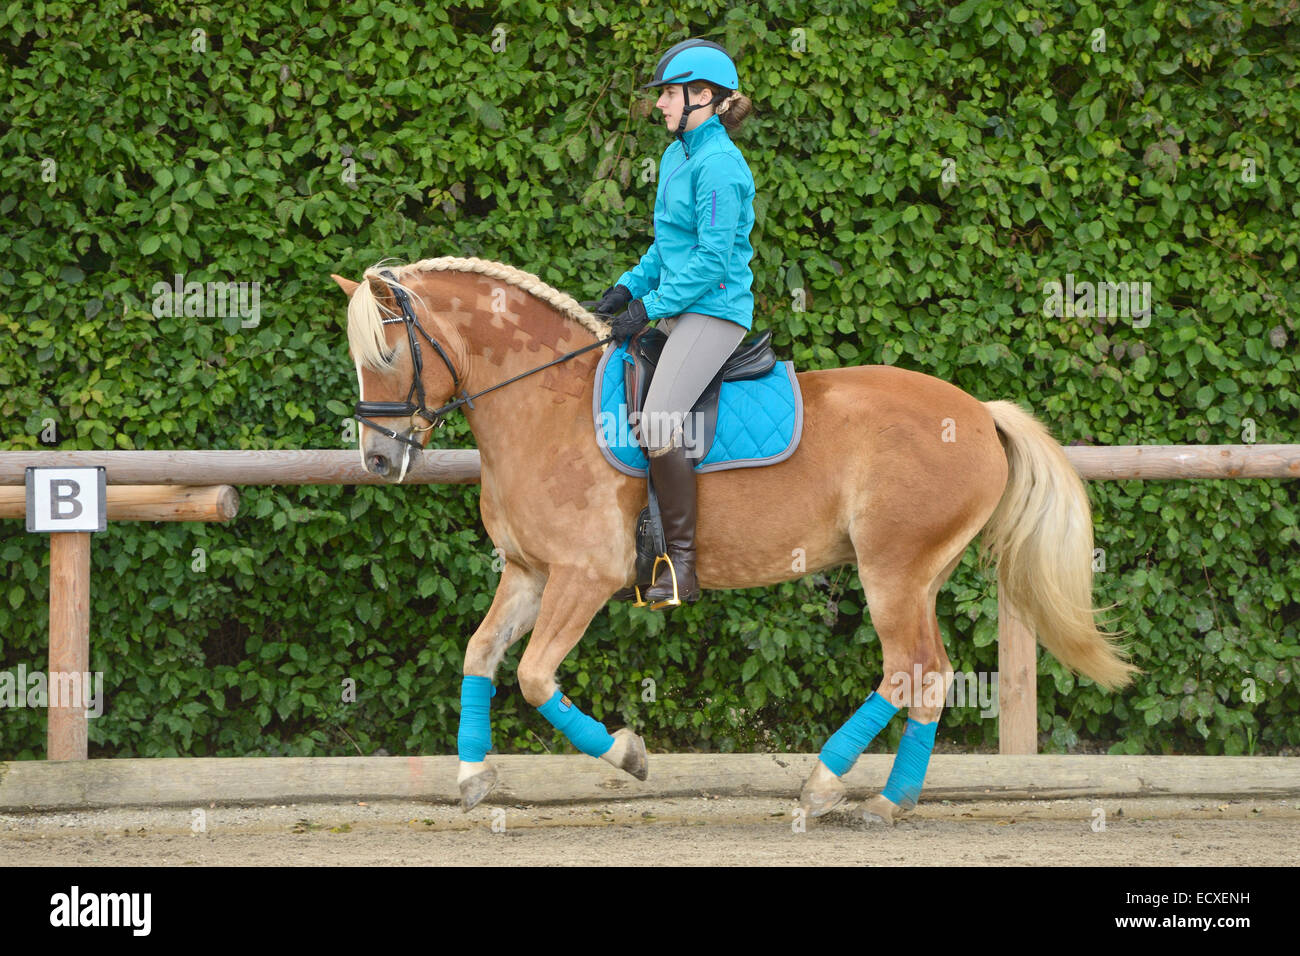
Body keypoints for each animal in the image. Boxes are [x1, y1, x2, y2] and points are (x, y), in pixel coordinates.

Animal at [331, 256, 1138, 823]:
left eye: (387, 355)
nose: (378, 460)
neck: (543, 404)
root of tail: (977, 412)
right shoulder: (528, 573)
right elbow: (481, 653)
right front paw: (473, 777)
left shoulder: (583, 576)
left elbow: (532, 676)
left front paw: (630, 755)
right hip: (920, 577)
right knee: (930, 674)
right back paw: (889, 799)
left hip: (893, 571)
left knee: (907, 670)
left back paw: (824, 785)